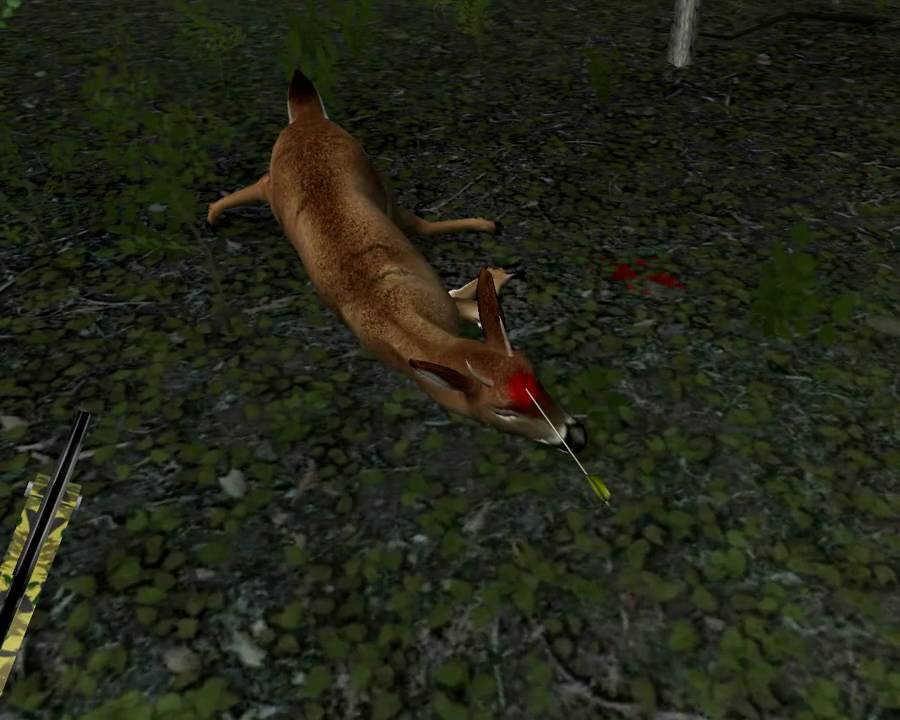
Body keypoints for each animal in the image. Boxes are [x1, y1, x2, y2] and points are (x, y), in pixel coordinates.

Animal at [206, 69, 587, 455]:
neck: (397, 320)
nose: (574, 436)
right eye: (503, 411)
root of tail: (304, 119)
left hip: (362, 171)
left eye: (536, 377)